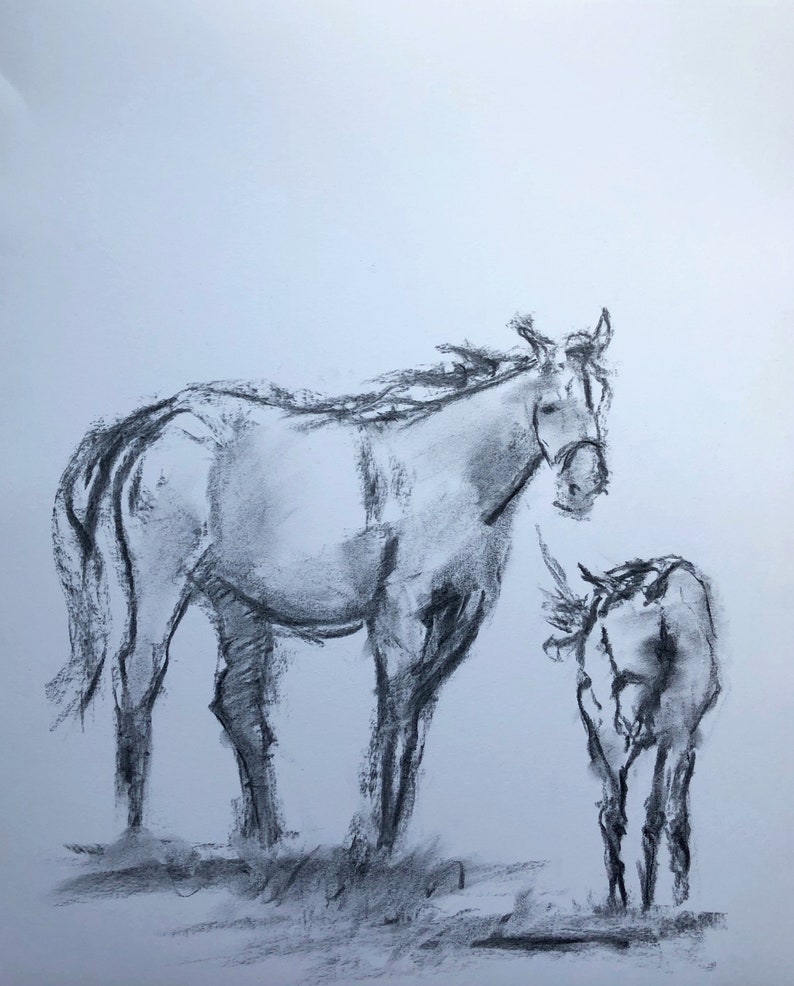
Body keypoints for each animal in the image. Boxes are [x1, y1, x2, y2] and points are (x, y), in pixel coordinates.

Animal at [48, 310, 613, 855]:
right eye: (549, 408)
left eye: (599, 400)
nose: (584, 486)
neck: (451, 475)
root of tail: (160, 419)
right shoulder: (399, 613)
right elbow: (394, 708)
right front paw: (372, 841)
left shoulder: (465, 610)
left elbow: (417, 710)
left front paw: (390, 836)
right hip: (161, 581)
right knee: (140, 676)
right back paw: (136, 836)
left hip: (235, 600)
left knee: (236, 700)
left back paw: (266, 840)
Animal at [538, 534, 720, 909]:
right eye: (605, 640)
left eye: (657, 644)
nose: (627, 717)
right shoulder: (670, 737)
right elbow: (662, 814)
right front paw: (666, 896)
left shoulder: (663, 737)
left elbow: (653, 813)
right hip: (640, 736)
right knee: (635, 813)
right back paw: (634, 899)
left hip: (624, 736)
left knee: (617, 813)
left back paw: (624, 898)